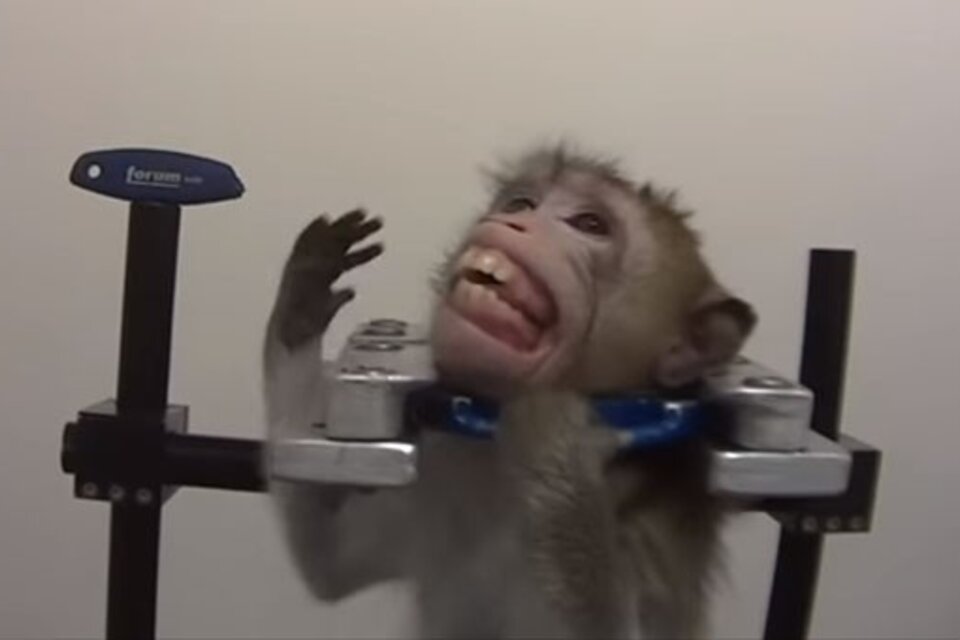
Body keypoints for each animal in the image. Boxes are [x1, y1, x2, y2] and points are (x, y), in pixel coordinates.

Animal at [262, 145, 757, 639]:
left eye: (591, 224)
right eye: (522, 203)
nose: (513, 222)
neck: (498, 475)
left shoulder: (649, 531)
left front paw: (556, 443)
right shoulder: (433, 484)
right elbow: (331, 567)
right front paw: (301, 297)